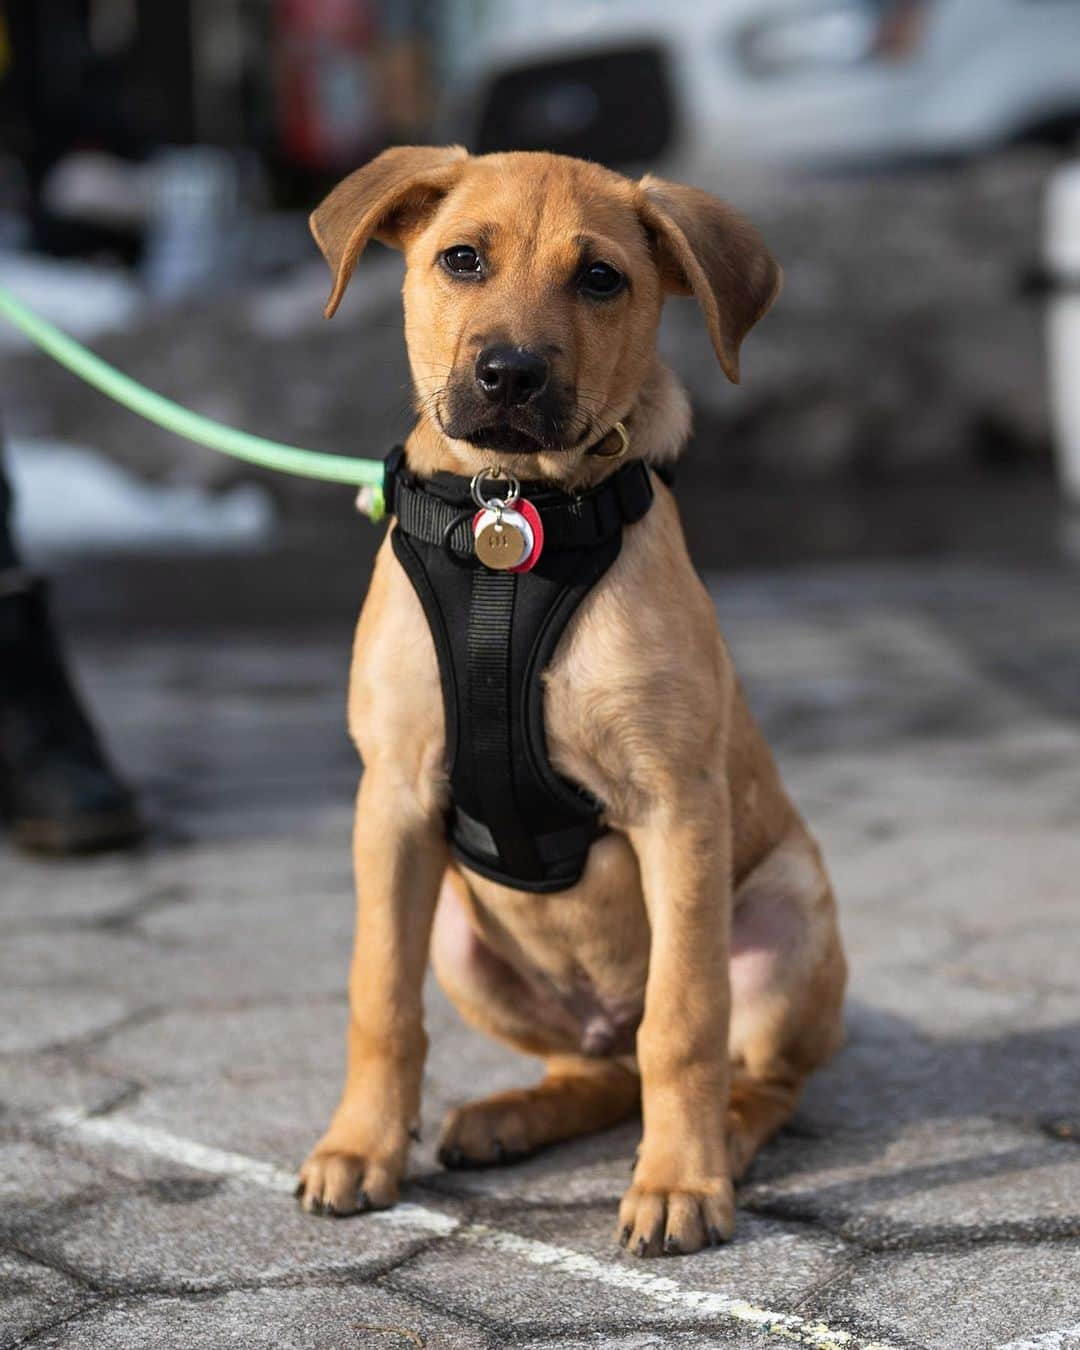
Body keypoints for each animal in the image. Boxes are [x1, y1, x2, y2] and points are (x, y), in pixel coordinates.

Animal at [299, 147, 847, 1252]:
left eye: (601, 279)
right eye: (461, 259)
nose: (511, 373)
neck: (511, 515)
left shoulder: (677, 806)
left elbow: (686, 1018)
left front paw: (678, 1183)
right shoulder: (391, 801)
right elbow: (380, 997)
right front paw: (360, 1147)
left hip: (789, 911)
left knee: (735, 1070)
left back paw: (719, 1141)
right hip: (463, 937)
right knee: (595, 1068)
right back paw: (512, 1115)